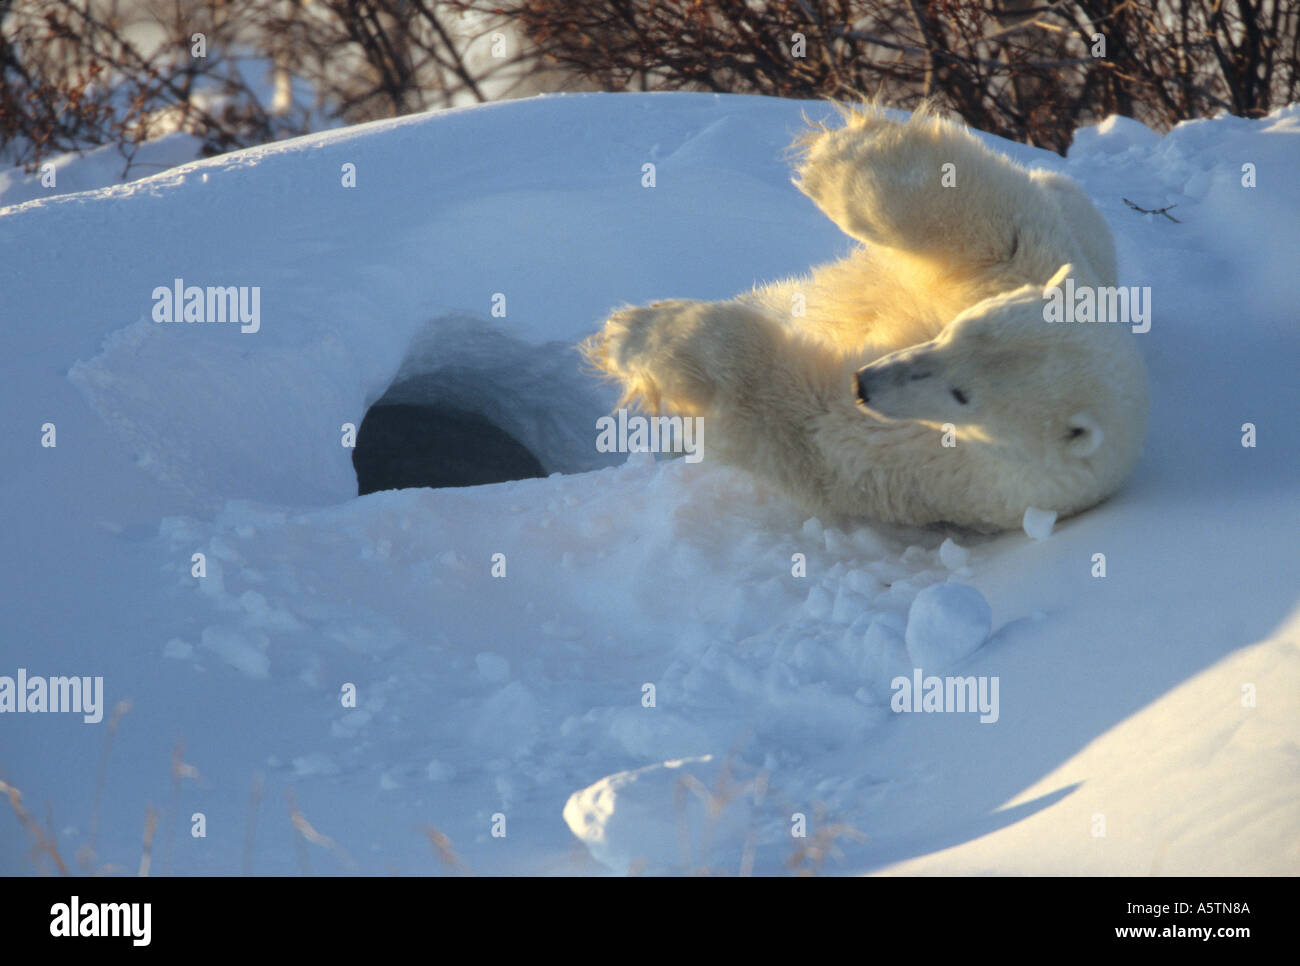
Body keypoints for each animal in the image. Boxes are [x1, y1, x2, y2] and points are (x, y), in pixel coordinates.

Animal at [581, 104, 1149, 532]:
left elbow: (799, 421)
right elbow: (983, 227)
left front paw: (636, 335)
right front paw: (838, 156)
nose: (866, 380)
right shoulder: (1035, 267)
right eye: (960, 329)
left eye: (963, 395)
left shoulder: (939, 465)